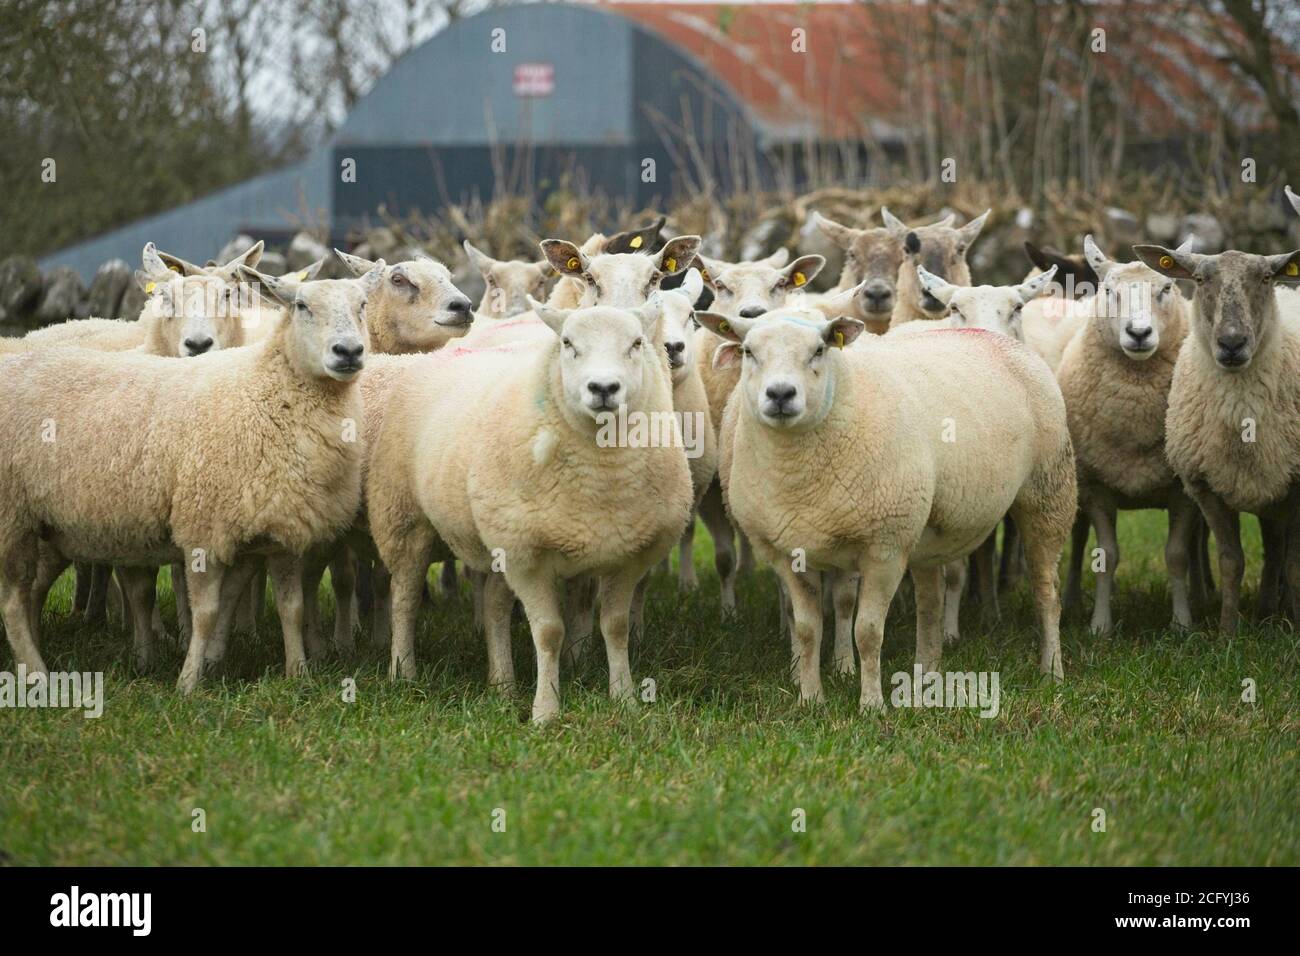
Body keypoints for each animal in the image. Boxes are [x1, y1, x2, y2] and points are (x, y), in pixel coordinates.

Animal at [0, 264, 383, 688]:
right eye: (301, 306)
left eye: (363, 305)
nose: (348, 352)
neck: (265, 391)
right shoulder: (203, 528)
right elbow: (205, 613)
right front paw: (188, 681)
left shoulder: (279, 528)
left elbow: (291, 607)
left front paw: (296, 673)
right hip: (12, 517)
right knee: (13, 602)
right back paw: (37, 672)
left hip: (44, 526)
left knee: (32, 592)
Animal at [366, 297, 693, 723]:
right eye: (568, 343)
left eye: (636, 343)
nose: (603, 388)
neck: (602, 478)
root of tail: (430, 355)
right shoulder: (528, 557)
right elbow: (549, 632)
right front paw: (546, 711)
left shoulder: (630, 555)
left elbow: (616, 626)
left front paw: (624, 699)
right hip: (404, 517)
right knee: (404, 598)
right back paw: (403, 671)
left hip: (496, 533)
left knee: (494, 604)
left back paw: (501, 684)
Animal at [702, 308, 1076, 709]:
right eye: (748, 351)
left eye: (819, 350)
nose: (781, 394)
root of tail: (1000, 339)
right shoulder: (788, 554)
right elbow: (806, 629)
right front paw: (811, 700)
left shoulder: (885, 548)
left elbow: (867, 631)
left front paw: (871, 704)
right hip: (926, 528)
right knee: (930, 599)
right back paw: (927, 675)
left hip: (1048, 492)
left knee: (1047, 592)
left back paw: (1052, 672)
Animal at [1050, 236, 1200, 633]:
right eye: (1109, 291)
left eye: (1167, 288)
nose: (1139, 333)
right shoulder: (1096, 485)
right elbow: (1106, 555)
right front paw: (1100, 625)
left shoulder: (1181, 489)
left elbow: (1177, 555)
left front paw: (1183, 623)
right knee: (1077, 538)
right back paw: (1071, 599)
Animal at [1133, 242, 1300, 630]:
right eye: (1198, 279)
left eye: (1266, 277)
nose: (1232, 342)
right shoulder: (1206, 487)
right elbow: (1231, 562)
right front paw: (1228, 631)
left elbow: (1296, 568)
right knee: (1273, 545)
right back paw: (1267, 609)